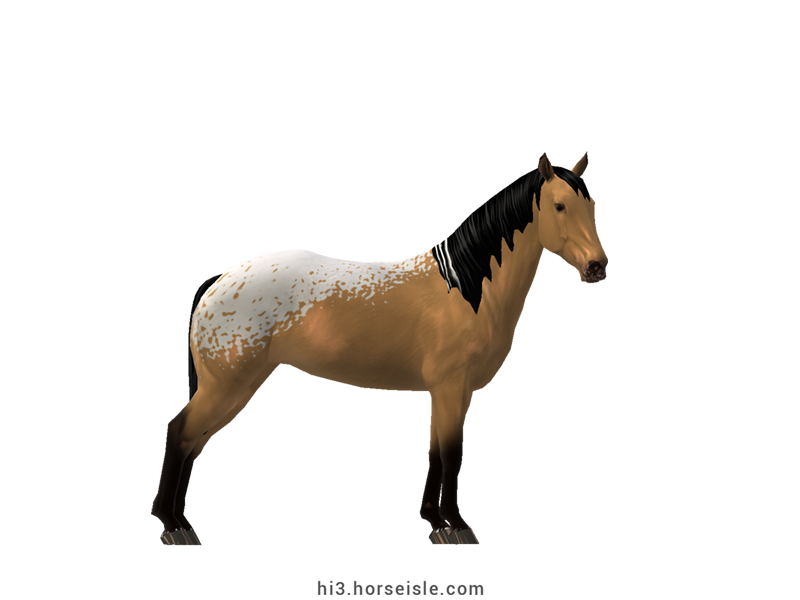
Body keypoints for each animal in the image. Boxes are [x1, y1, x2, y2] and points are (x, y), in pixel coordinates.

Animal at [154, 151, 608, 535]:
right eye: (560, 205)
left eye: (588, 202)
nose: (596, 266)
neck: (468, 288)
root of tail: (214, 289)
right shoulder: (450, 385)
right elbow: (453, 452)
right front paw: (456, 522)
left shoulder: (443, 389)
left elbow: (437, 451)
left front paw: (433, 518)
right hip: (224, 386)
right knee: (180, 433)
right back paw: (172, 524)